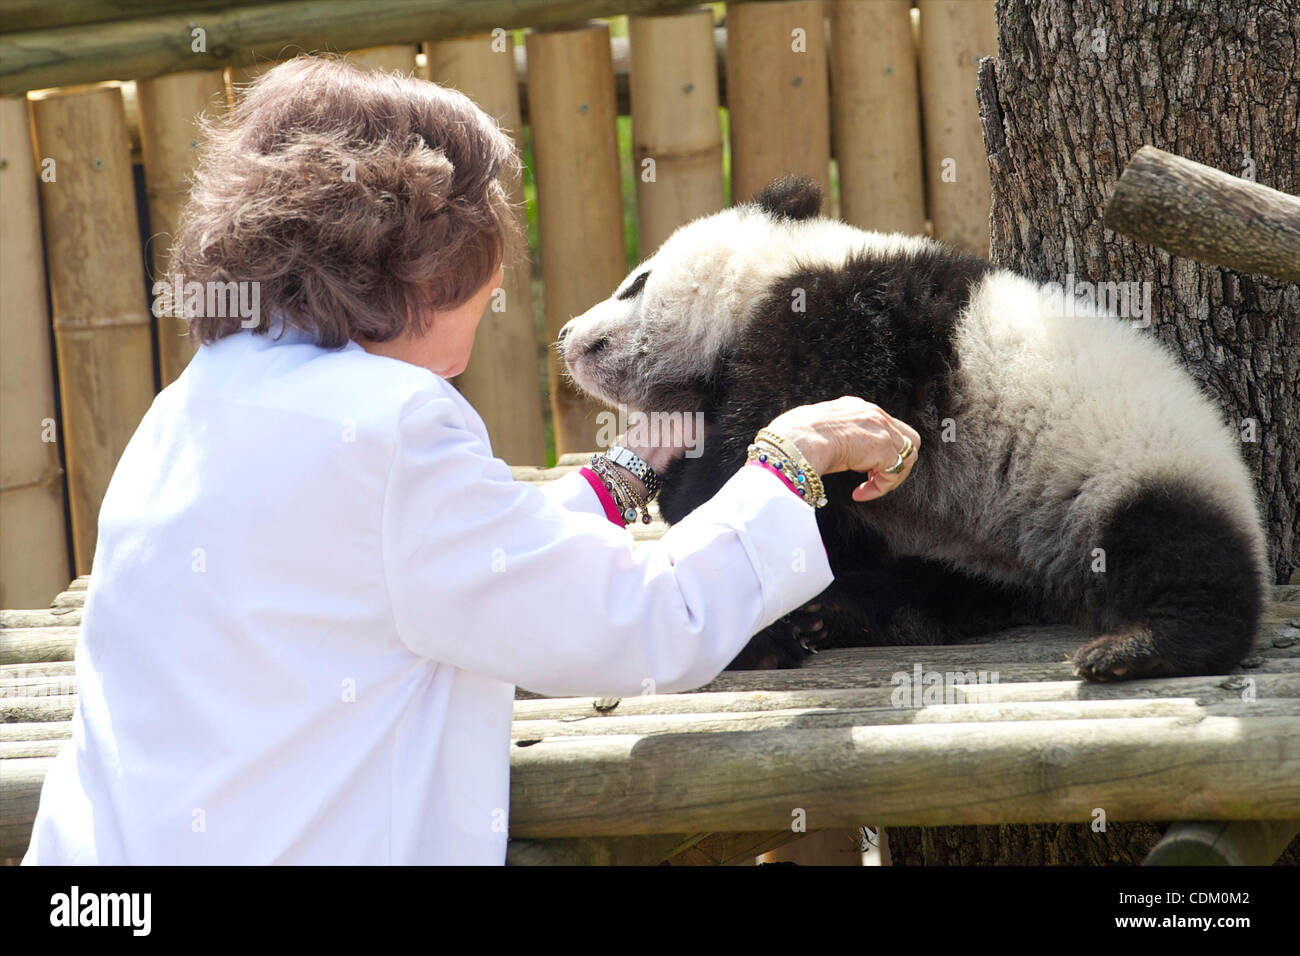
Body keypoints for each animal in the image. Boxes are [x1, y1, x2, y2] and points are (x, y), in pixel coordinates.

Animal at [559, 175, 1269, 681]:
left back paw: (1140, 647)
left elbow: (769, 423)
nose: (566, 337)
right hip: (968, 548)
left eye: (636, 283)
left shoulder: (853, 317)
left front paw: (694, 482)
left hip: (1134, 457)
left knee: (1178, 547)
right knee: (932, 591)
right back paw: (830, 616)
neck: (778, 272)